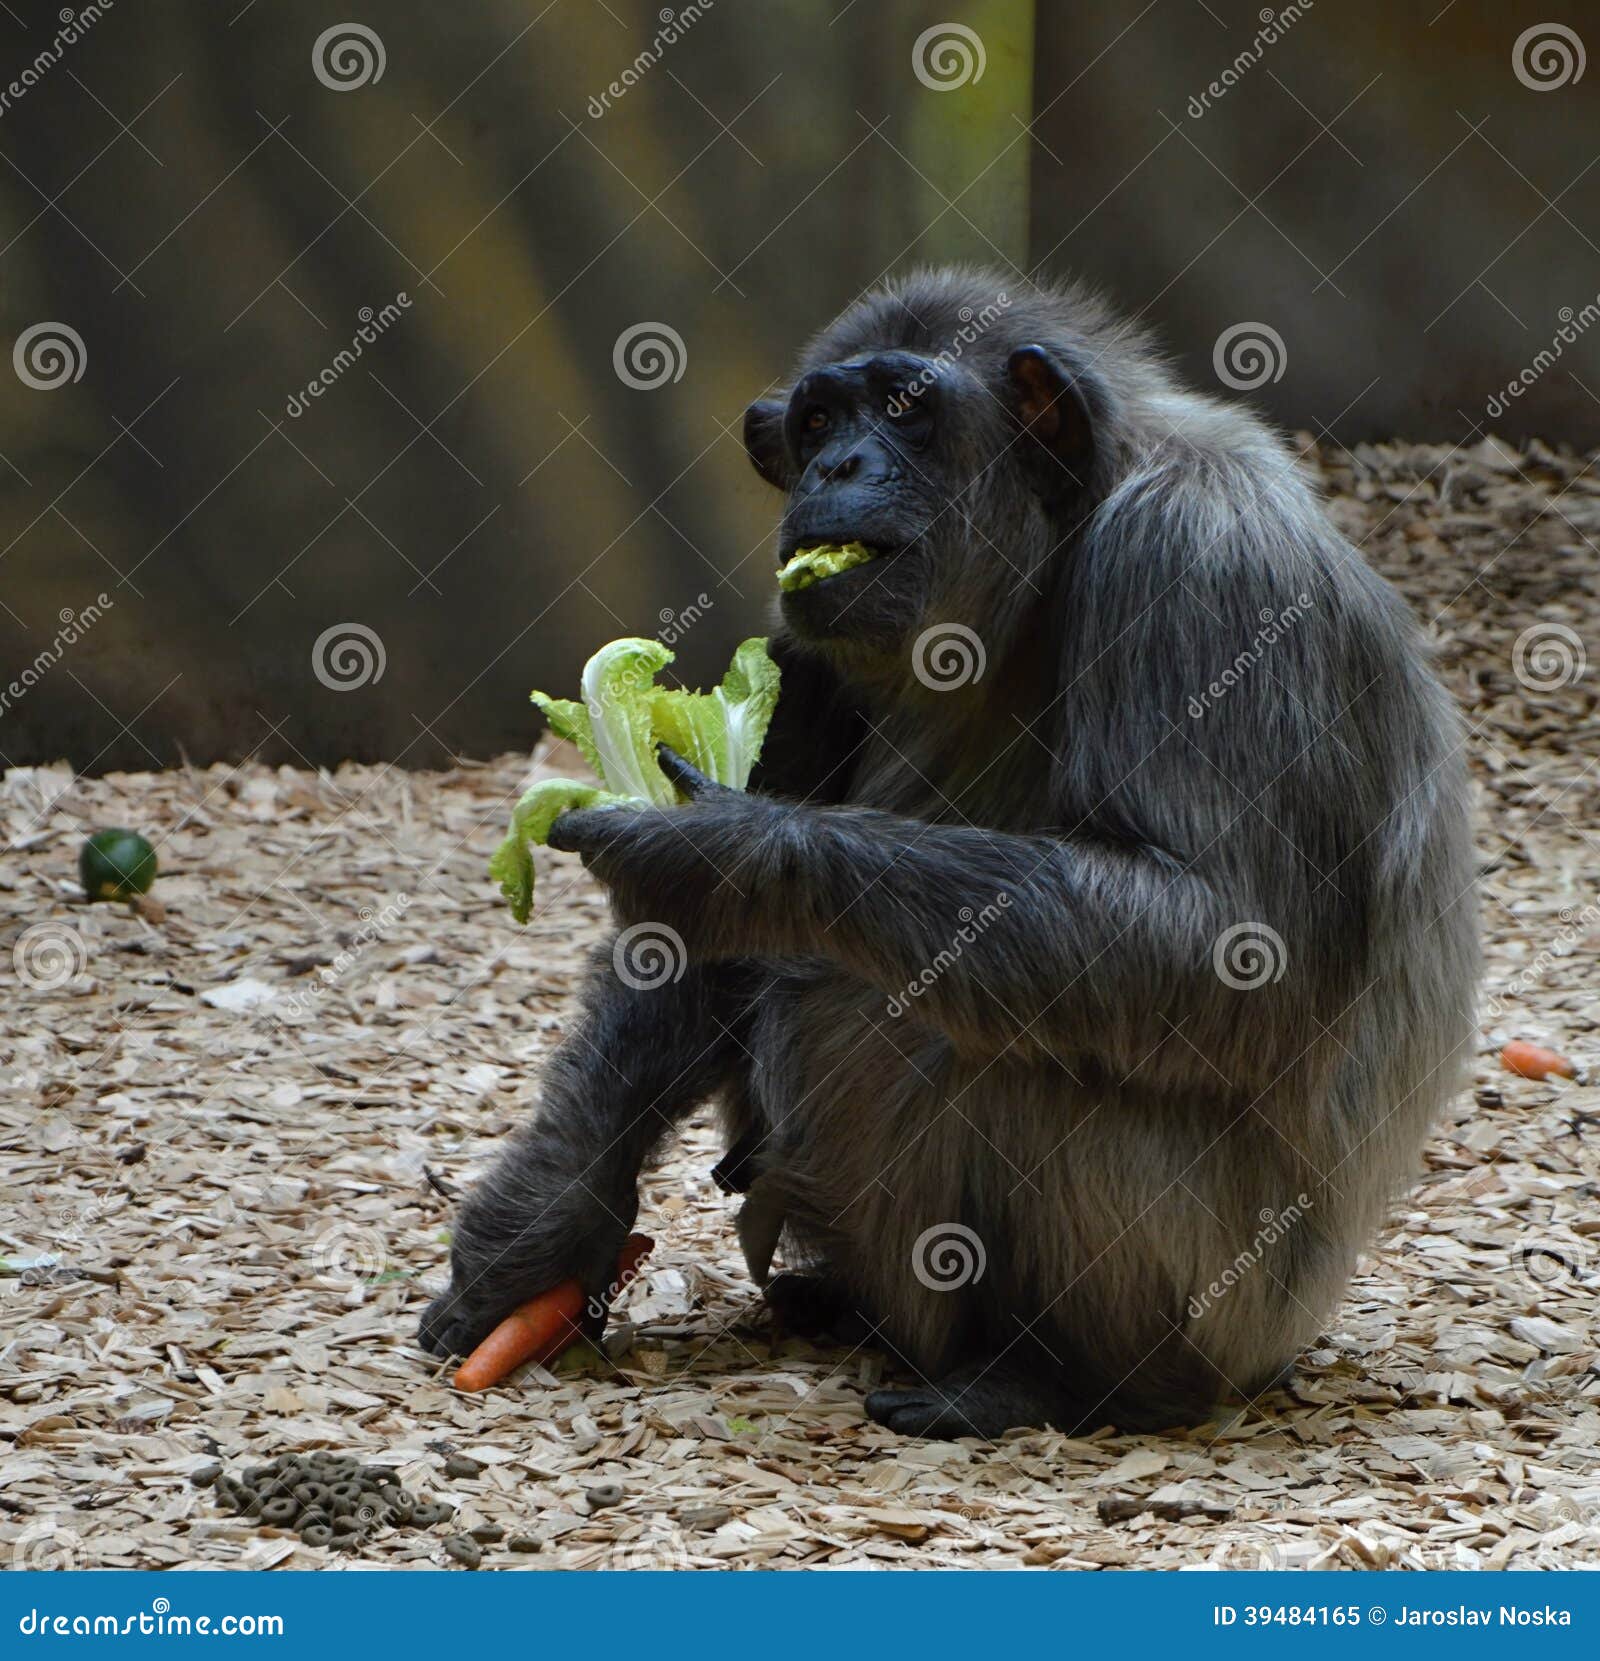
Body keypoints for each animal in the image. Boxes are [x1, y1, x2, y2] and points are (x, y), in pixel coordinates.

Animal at [419, 266, 1479, 1438]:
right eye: (818, 420)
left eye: (901, 407)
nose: (836, 466)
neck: (1052, 547)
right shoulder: (802, 640)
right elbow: (681, 974)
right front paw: (544, 1224)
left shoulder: (1205, 570)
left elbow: (1227, 928)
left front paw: (721, 852)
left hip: (1226, 1317)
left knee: (1003, 1055)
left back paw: (1038, 1377)